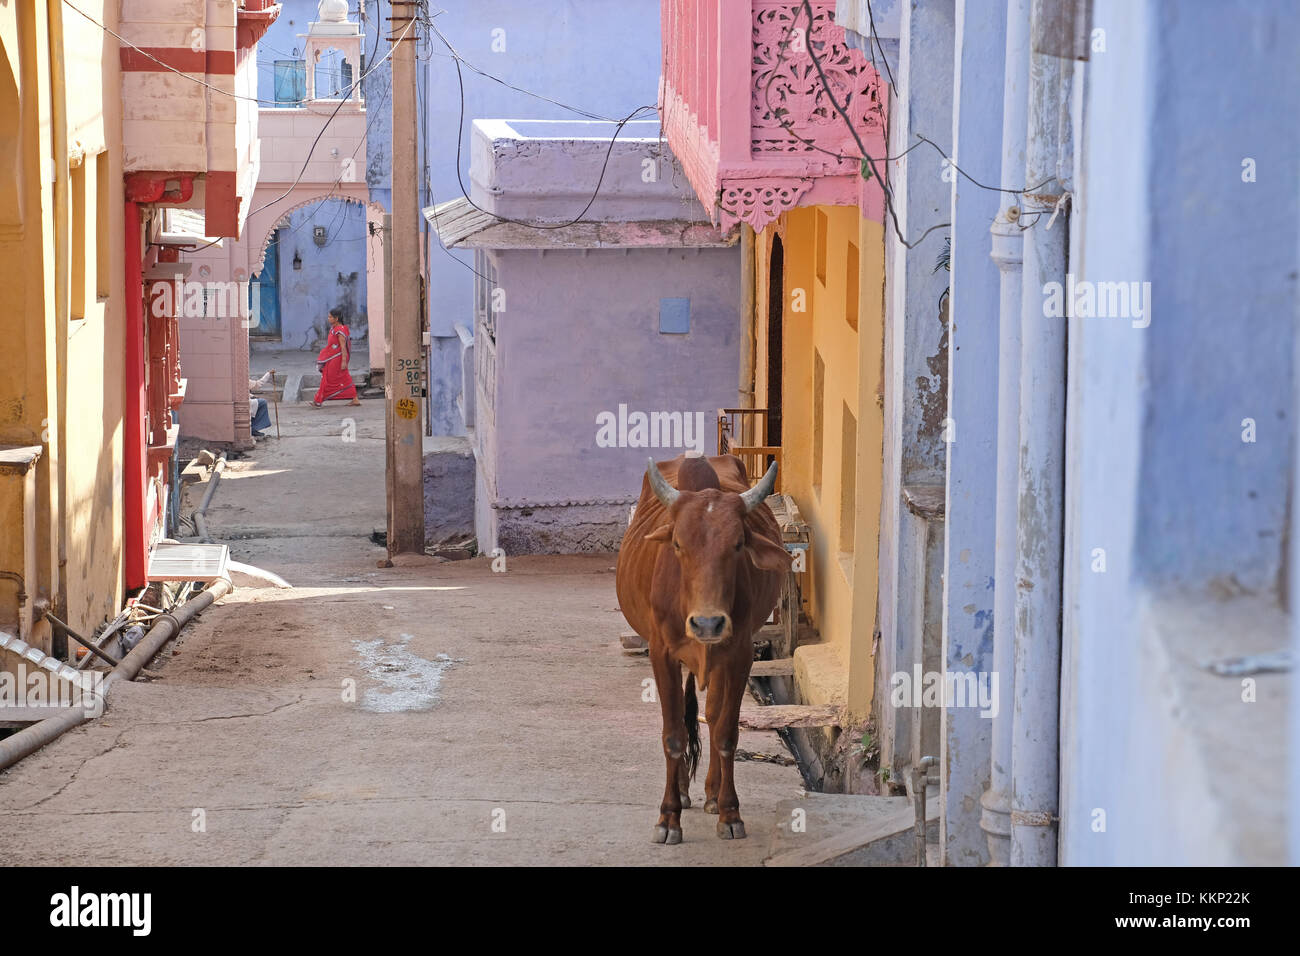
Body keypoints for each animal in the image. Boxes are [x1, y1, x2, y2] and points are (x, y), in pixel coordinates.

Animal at [616, 452, 791, 844]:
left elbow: (726, 731)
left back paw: (710, 793)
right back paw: (682, 791)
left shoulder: (739, 655)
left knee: (710, 714)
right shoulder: (661, 653)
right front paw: (668, 818)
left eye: (738, 544)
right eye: (678, 544)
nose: (708, 624)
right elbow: (673, 735)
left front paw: (729, 812)